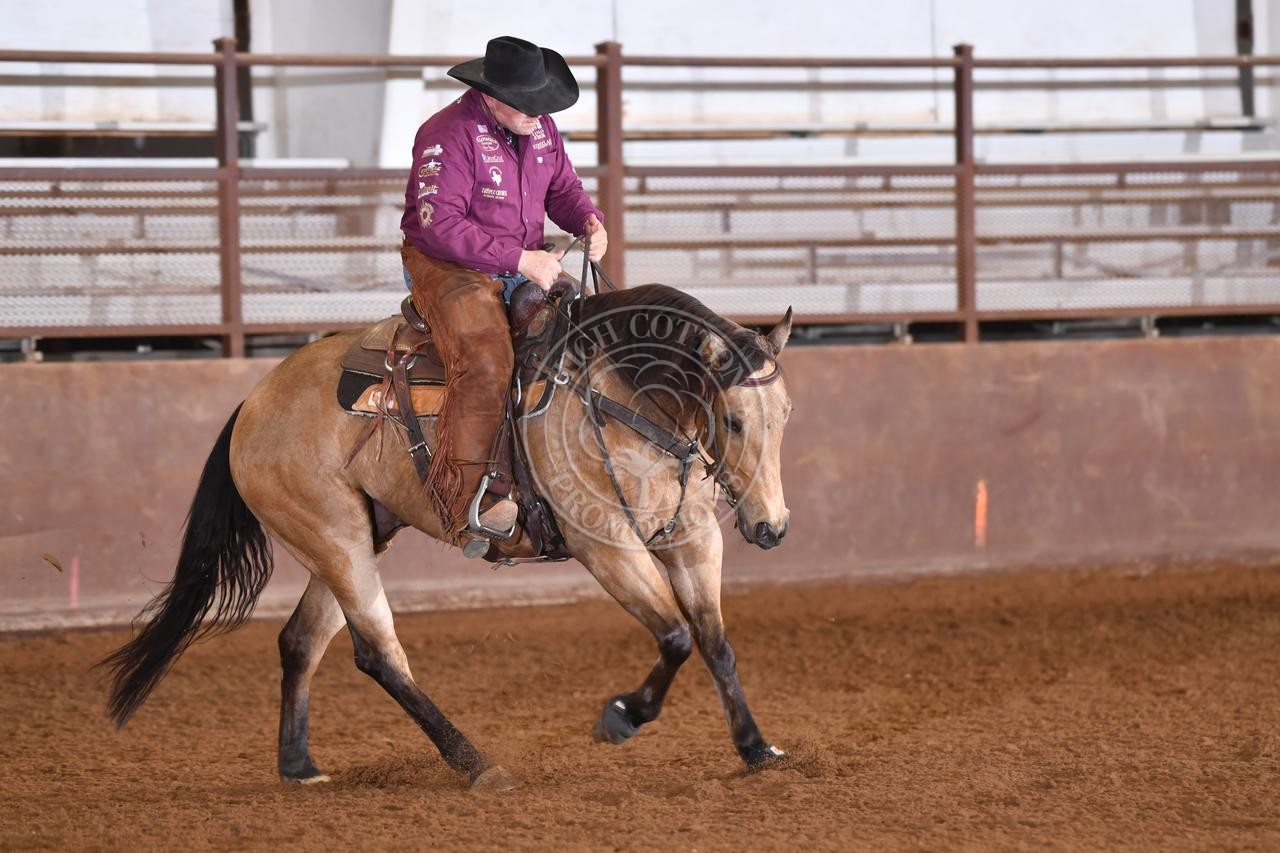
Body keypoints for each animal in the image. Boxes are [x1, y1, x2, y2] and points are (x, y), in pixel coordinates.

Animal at [101, 283, 795, 790]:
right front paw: (621, 717)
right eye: (734, 420)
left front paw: (757, 748)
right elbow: (676, 636)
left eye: (785, 414)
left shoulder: (693, 540)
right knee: (379, 653)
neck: (621, 398)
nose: (771, 528)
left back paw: (299, 767)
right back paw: (475, 762)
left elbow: (715, 643)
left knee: (301, 641)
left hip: (352, 538)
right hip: (336, 538)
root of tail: (253, 402)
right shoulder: (607, 547)